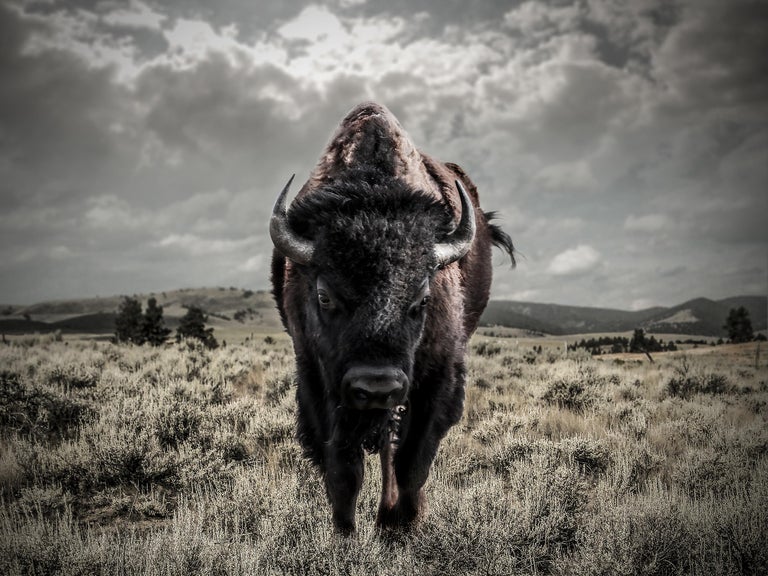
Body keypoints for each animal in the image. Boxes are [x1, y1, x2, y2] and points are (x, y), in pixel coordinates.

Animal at [270, 102, 514, 533]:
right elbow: (343, 471)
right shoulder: (316, 380)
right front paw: (346, 534)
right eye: (324, 296)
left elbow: (411, 463)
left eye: (422, 299)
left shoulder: (436, 380)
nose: (376, 386)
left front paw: (401, 526)